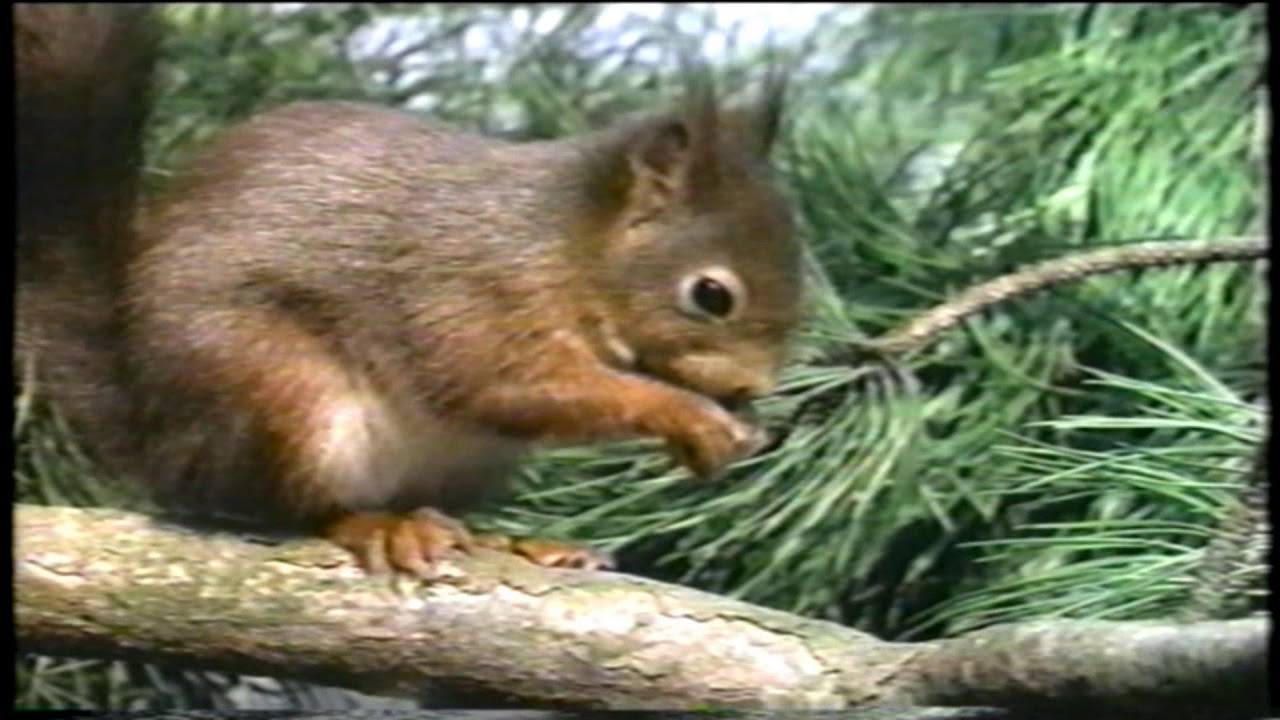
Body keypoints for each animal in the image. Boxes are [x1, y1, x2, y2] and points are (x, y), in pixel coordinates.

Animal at [15, 5, 804, 576]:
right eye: (711, 294)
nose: (752, 387)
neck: (565, 246)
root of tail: (159, 443)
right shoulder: (478, 296)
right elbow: (501, 384)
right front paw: (688, 416)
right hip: (276, 394)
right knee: (279, 507)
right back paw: (374, 524)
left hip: (467, 462)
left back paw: (508, 541)